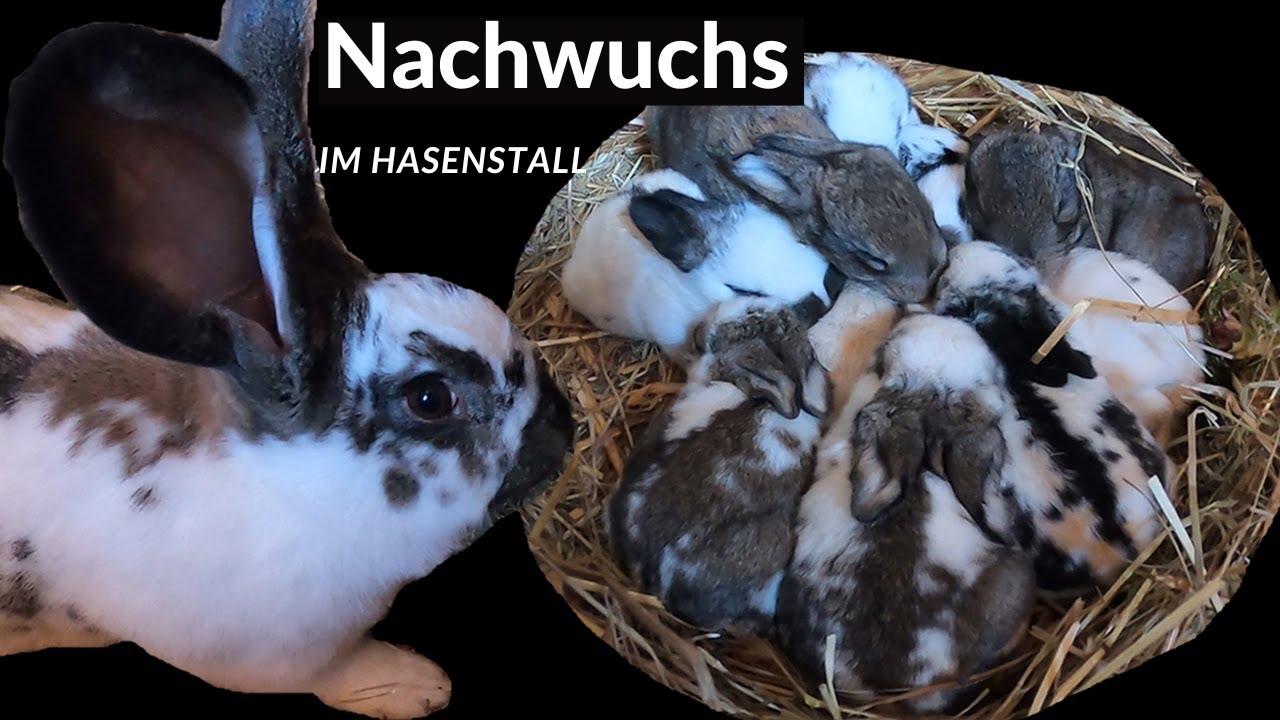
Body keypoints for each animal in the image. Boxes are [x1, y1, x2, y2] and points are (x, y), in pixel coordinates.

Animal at [0, 3, 573, 718]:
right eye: (430, 399)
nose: (564, 429)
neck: (280, 491)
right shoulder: (270, 659)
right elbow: (336, 674)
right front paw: (414, 686)